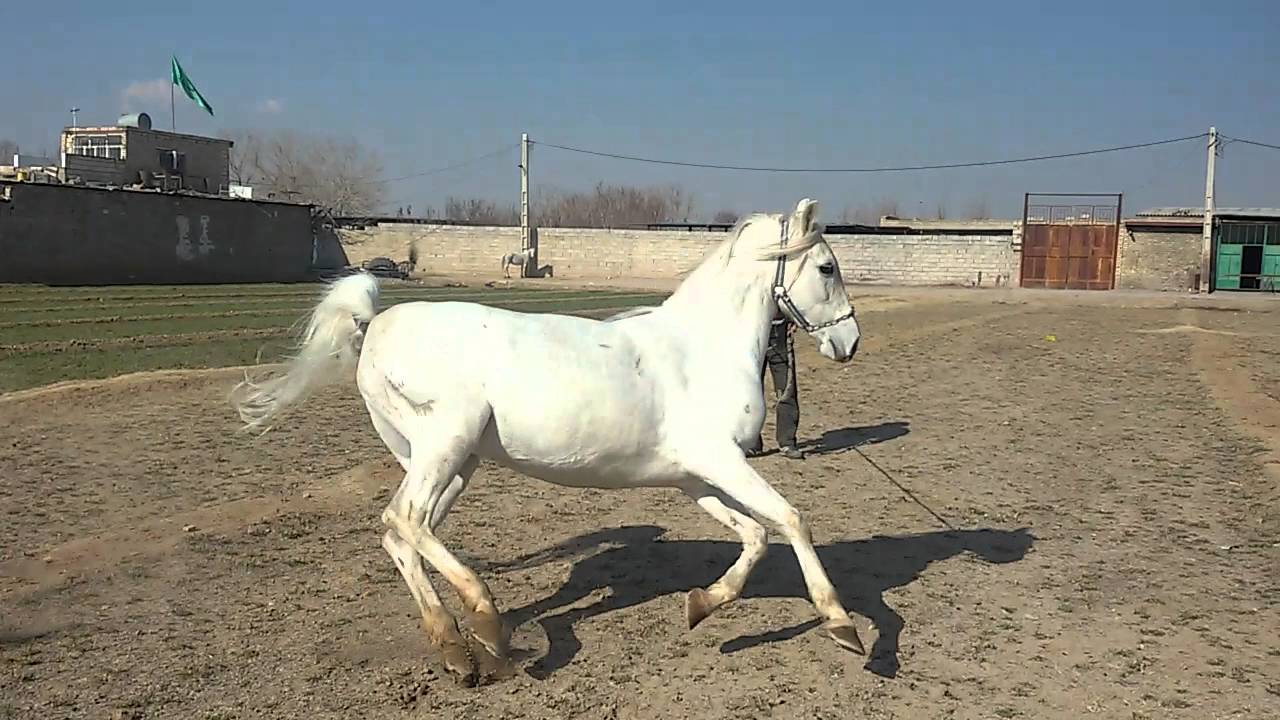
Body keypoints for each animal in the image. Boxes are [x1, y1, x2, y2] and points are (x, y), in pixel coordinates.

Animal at [230, 198, 865, 684]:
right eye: (827, 268)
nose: (850, 343)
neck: (700, 350)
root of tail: (375, 325)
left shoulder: (694, 476)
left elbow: (755, 535)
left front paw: (701, 605)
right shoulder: (721, 461)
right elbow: (791, 520)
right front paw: (843, 626)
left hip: (452, 462)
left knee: (402, 535)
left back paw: (457, 648)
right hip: (447, 442)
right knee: (404, 521)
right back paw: (487, 622)